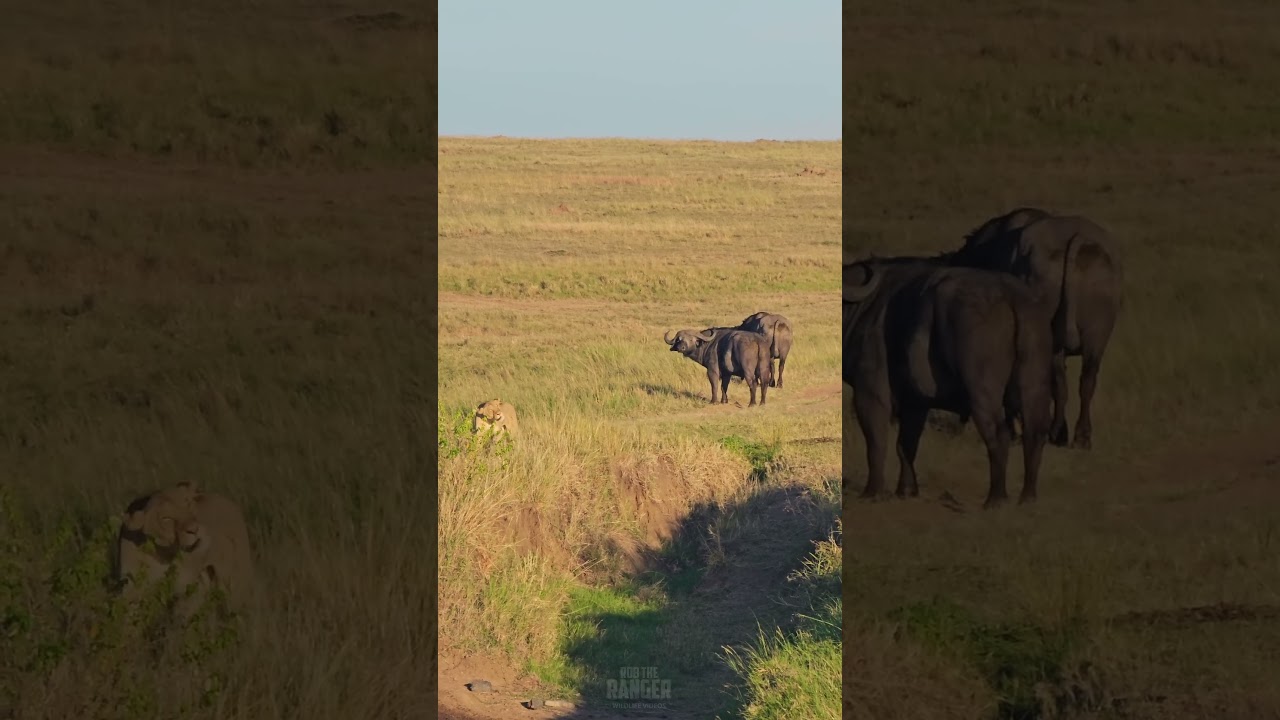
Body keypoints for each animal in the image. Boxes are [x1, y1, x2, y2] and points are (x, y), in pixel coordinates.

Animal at [114, 481, 254, 616]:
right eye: (166, 519)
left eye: (188, 504)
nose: (194, 530)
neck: (162, 553)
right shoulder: (132, 588)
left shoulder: (188, 590)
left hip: (235, 585)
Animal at [843, 257, 1054, 508]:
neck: (862, 307)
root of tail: (1011, 295)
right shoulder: (916, 403)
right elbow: (906, 445)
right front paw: (906, 490)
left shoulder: (870, 393)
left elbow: (876, 443)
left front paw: (872, 492)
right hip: (1034, 383)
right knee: (1035, 433)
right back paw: (1028, 497)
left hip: (982, 393)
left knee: (999, 435)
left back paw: (996, 498)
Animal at [948, 208, 1123, 450]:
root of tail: (1077, 235)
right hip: (1095, 339)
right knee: (1085, 382)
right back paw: (1080, 436)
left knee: (1058, 384)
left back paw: (1056, 432)